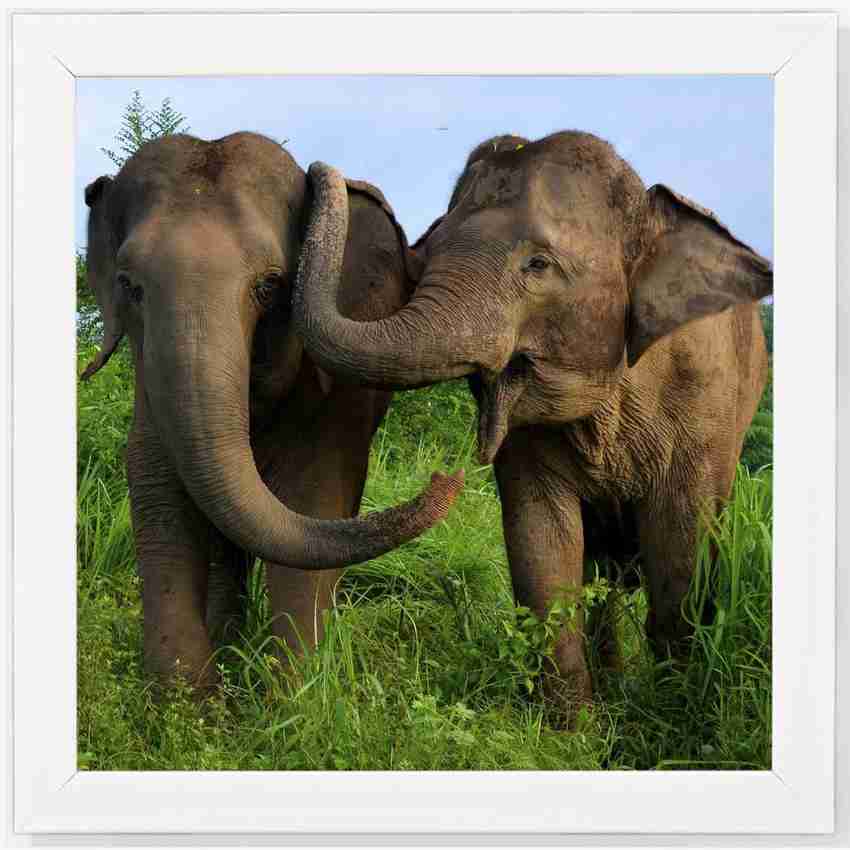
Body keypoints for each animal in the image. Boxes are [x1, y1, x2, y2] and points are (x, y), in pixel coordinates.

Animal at [82, 131, 463, 689]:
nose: (447, 476)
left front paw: (292, 692)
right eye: (130, 286)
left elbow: (315, 495)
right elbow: (157, 485)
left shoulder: (332, 393)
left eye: (271, 285)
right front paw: (187, 699)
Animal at [294, 130, 772, 713]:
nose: (329, 173)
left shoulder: (704, 406)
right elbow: (541, 541)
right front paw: (576, 729)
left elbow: (683, 550)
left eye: (538, 265)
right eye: (423, 257)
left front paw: (670, 711)